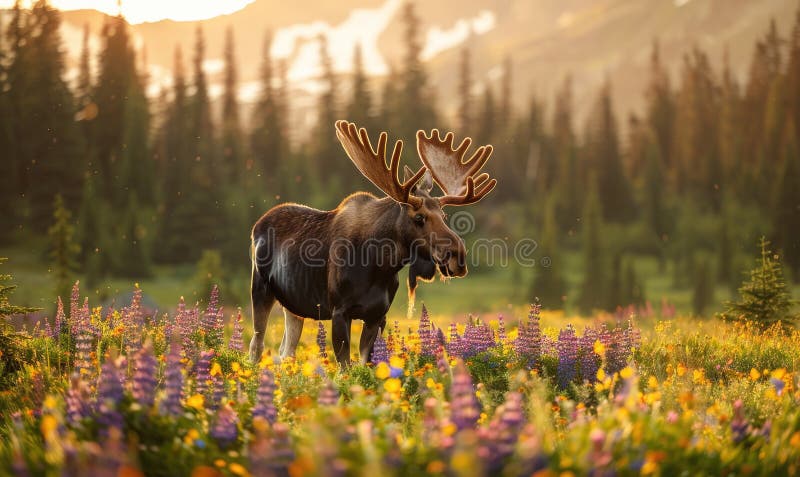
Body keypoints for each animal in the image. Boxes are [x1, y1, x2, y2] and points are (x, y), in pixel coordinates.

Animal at [249, 120, 496, 366]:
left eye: (443, 216)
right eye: (419, 217)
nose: (458, 256)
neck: (380, 265)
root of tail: (257, 226)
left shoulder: (378, 315)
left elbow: (367, 364)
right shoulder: (339, 311)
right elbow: (345, 367)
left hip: (294, 306)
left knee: (285, 352)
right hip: (260, 290)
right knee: (256, 345)